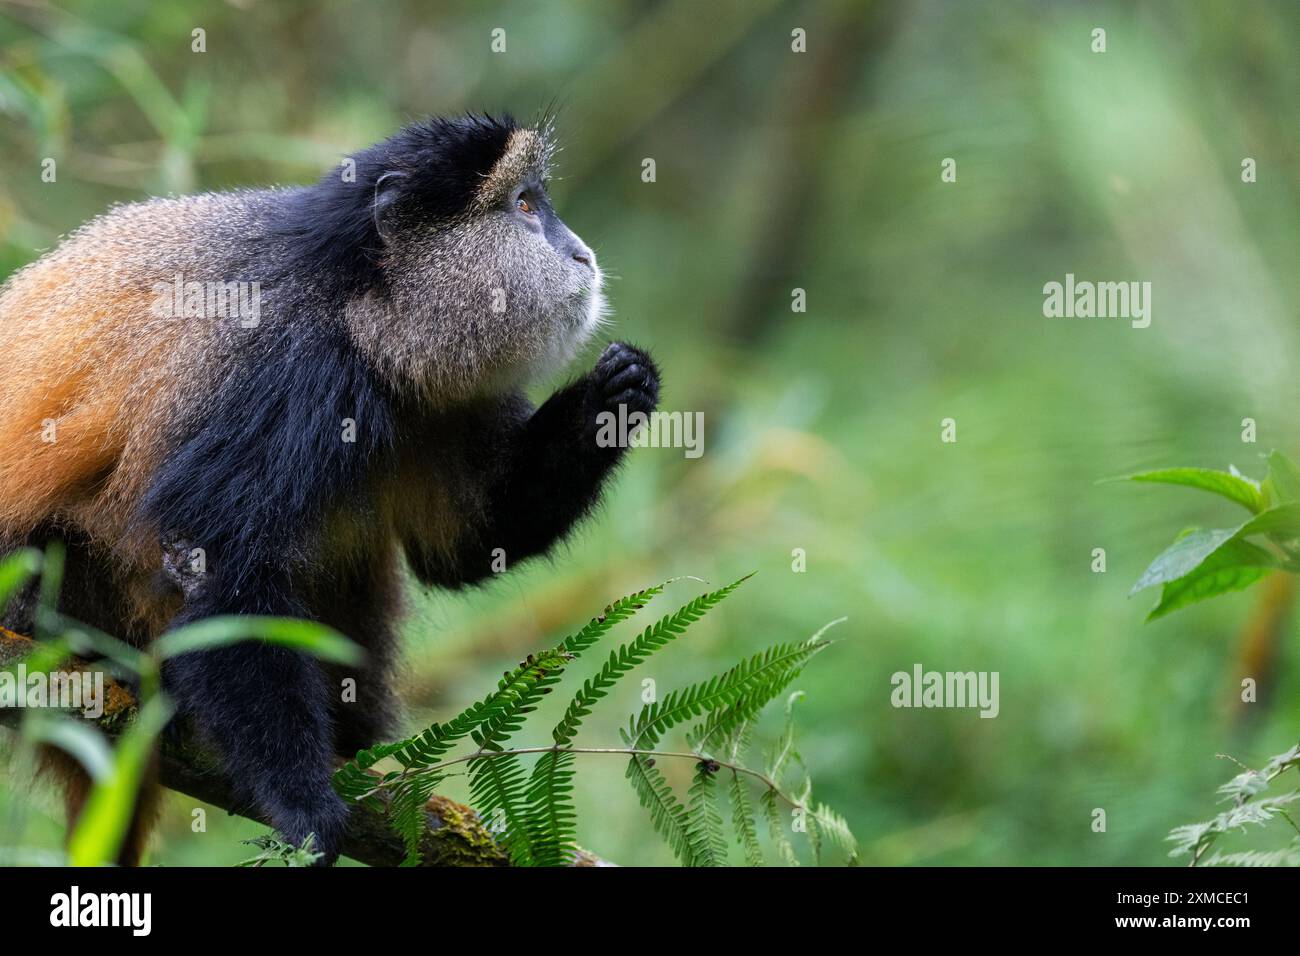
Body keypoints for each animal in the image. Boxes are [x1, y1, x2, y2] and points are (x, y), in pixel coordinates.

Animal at [0, 113, 660, 864]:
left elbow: (465, 543)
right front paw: (302, 801)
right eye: (525, 205)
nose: (582, 255)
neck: (362, 302)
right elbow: (215, 568)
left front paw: (613, 395)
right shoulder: (288, 360)